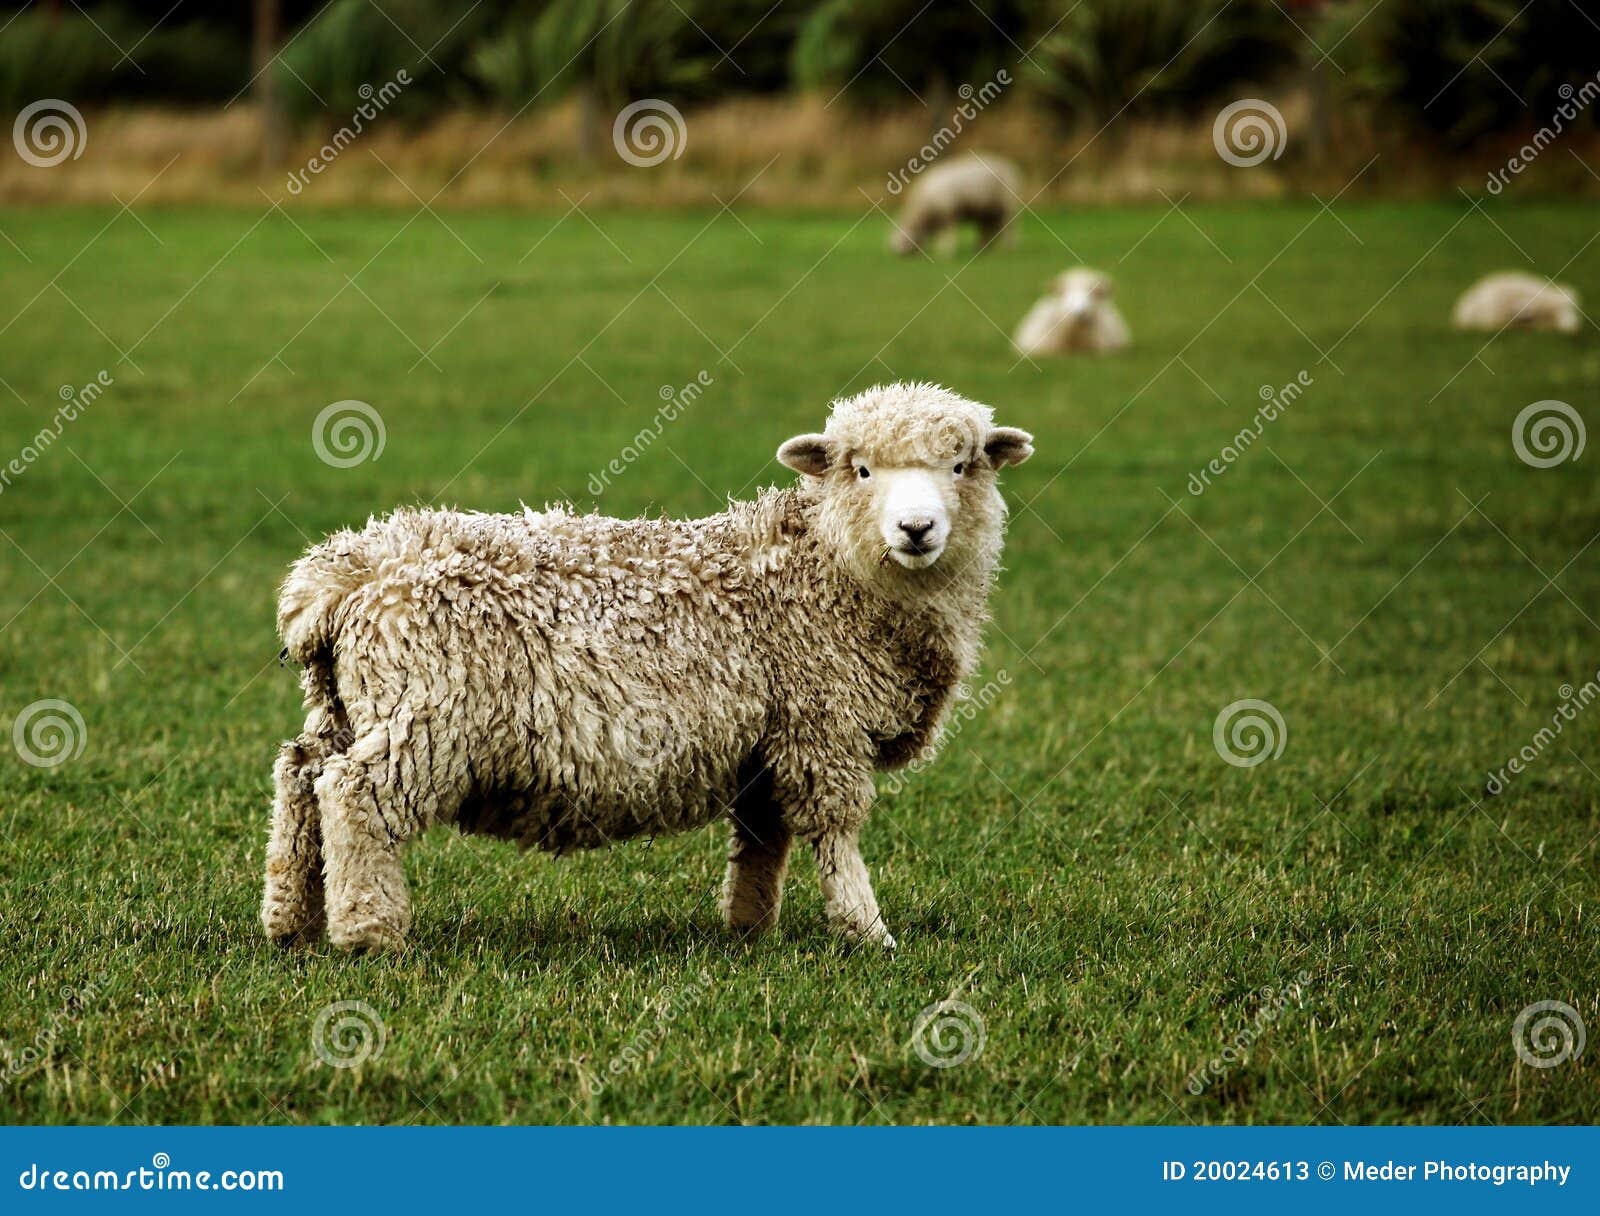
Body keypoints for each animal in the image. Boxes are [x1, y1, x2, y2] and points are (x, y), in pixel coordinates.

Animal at [260, 382, 1034, 953]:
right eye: (863, 470)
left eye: (961, 466)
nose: (917, 529)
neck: (826, 567)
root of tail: (348, 571)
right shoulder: (822, 725)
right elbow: (834, 831)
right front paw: (867, 931)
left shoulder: (767, 738)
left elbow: (764, 836)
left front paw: (750, 926)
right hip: (424, 716)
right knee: (352, 795)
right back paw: (367, 931)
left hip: (348, 702)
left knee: (300, 776)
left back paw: (290, 919)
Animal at [889, 154, 1022, 255]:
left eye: (903, 241)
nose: (899, 256)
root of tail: (1011, 166)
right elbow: (938, 235)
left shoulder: (948, 214)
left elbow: (947, 234)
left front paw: (945, 251)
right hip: (988, 210)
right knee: (990, 229)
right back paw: (983, 248)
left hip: (1007, 206)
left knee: (1008, 227)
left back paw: (1008, 248)